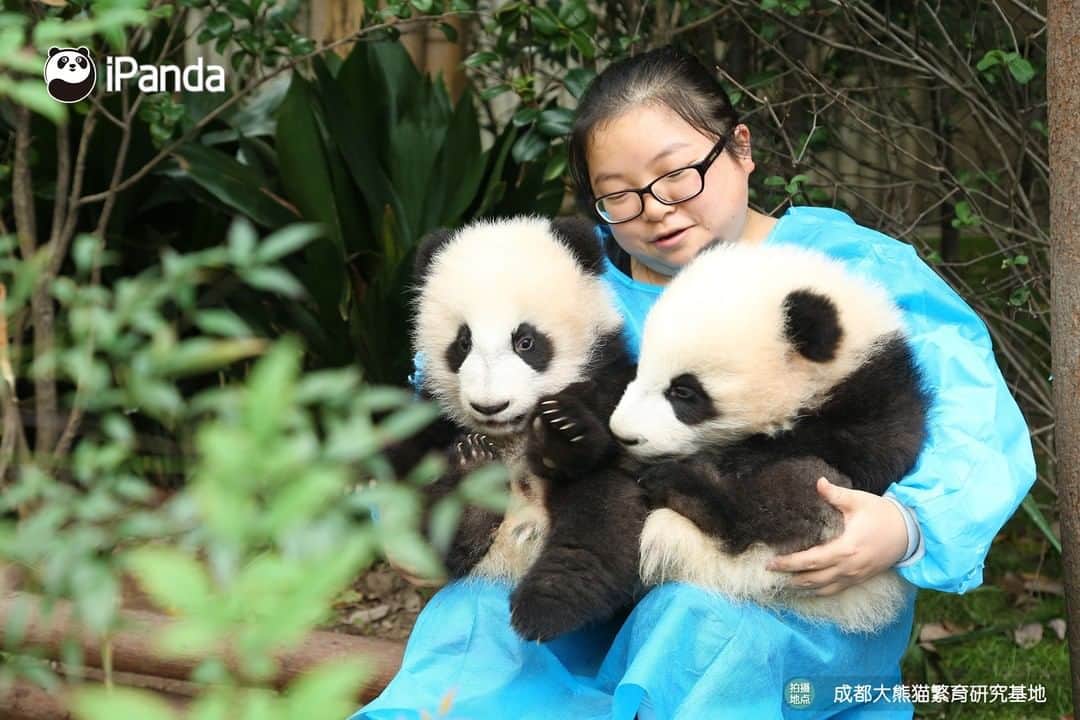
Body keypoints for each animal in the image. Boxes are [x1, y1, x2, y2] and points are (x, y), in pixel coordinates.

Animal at [409, 215, 647, 641]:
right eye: (463, 343)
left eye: (526, 341)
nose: (490, 406)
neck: (512, 434)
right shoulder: (432, 412)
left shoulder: (610, 371)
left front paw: (562, 429)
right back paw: (471, 483)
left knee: (601, 520)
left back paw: (546, 606)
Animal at [608, 241, 931, 633]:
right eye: (641, 369)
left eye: (684, 391)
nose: (623, 435)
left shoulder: (877, 398)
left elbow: (864, 452)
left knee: (794, 493)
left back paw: (685, 487)